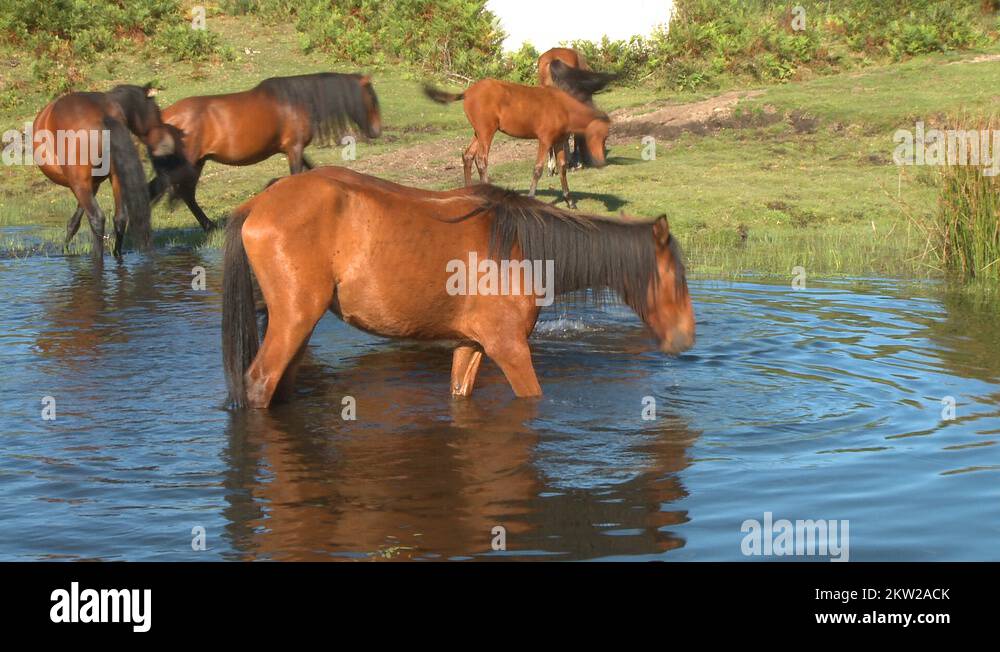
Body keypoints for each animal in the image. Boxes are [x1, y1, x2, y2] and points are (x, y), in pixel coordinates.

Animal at [32, 83, 182, 259]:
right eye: (157, 111)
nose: (167, 144)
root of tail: (102, 115)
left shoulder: (81, 185)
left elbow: (76, 221)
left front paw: (65, 250)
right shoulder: (93, 184)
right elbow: (76, 220)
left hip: (81, 185)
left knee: (97, 219)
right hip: (115, 180)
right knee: (120, 218)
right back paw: (117, 254)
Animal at [149, 72, 382, 231]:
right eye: (372, 99)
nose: (376, 131)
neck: (295, 102)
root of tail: (163, 118)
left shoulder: (292, 149)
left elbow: (310, 169)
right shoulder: (294, 148)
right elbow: (297, 175)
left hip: (196, 163)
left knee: (185, 195)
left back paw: (209, 226)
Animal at [221, 166, 695, 409]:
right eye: (675, 277)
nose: (686, 338)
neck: (519, 246)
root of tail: (258, 204)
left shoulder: (471, 345)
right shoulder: (510, 348)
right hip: (293, 320)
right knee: (260, 383)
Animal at [423, 80, 611, 208]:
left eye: (606, 137)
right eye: (597, 135)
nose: (601, 163)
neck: (563, 107)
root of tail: (468, 92)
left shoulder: (558, 141)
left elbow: (562, 167)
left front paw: (570, 201)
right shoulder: (545, 140)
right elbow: (538, 169)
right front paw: (531, 197)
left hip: (479, 132)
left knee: (468, 156)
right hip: (486, 132)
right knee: (481, 159)